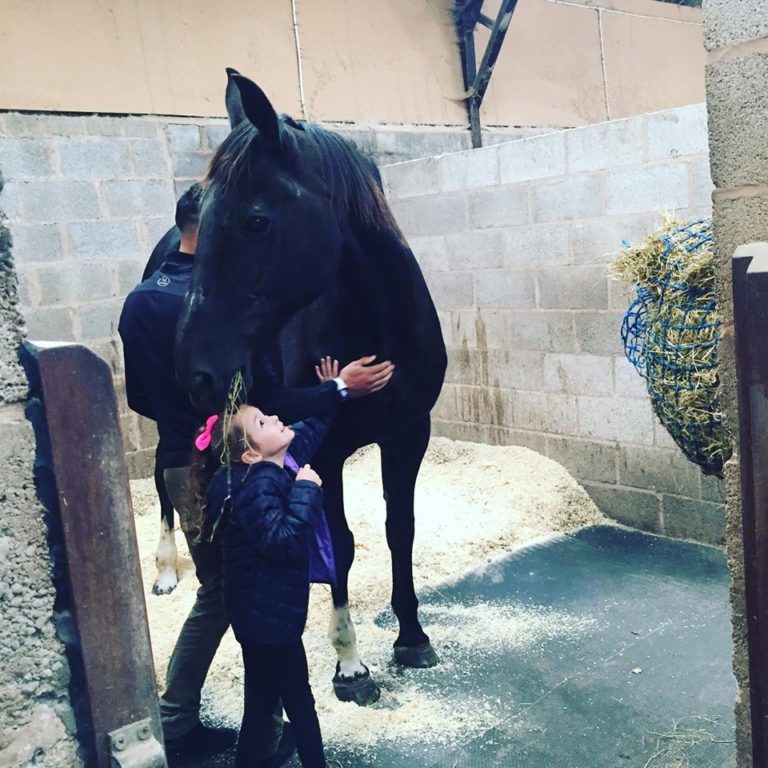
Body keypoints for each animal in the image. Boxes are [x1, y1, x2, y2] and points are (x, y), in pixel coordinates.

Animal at [174, 69, 447, 705]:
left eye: (255, 221)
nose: (198, 372)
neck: (374, 323)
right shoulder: (326, 452)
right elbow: (340, 545)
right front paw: (350, 666)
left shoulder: (409, 435)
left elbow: (401, 530)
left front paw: (412, 636)